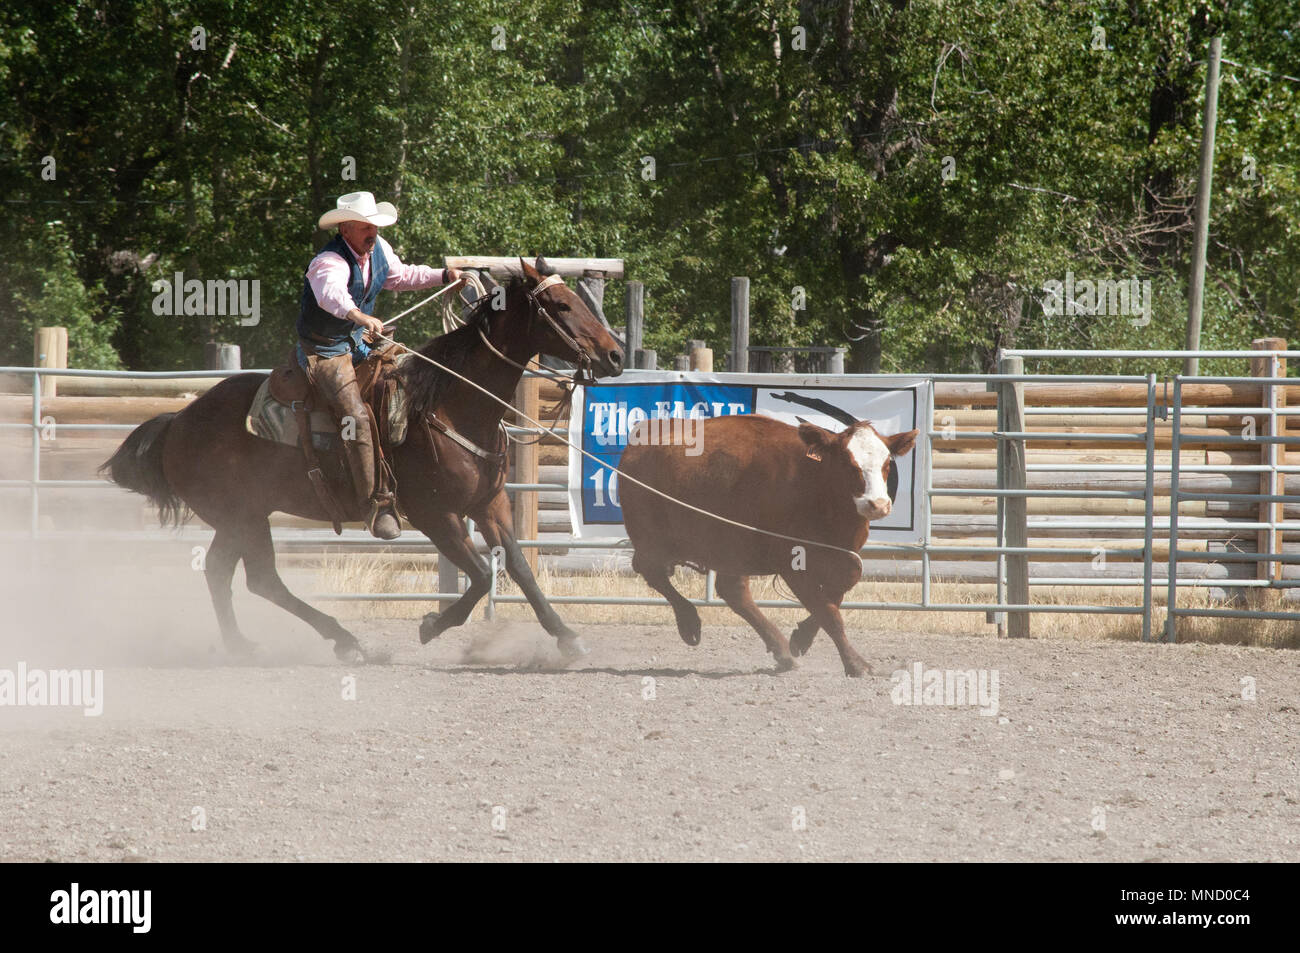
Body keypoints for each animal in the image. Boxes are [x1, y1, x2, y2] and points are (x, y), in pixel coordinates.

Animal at [618, 414, 918, 677]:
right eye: (847, 461)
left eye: (887, 463)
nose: (877, 504)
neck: (816, 487)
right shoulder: (792, 563)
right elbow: (828, 612)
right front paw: (856, 664)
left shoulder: (845, 556)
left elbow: (835, 595)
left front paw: (801, 638)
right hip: (653, 539)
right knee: (652, 571)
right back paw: (689, 621)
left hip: (731, 547)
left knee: (733, 591)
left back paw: (782, 651)